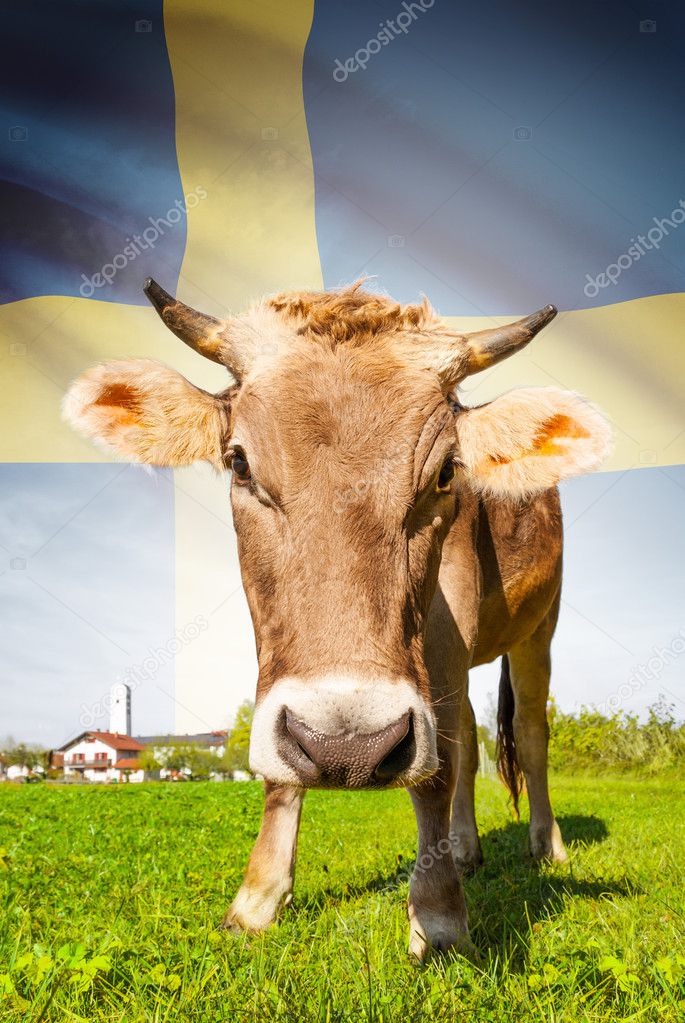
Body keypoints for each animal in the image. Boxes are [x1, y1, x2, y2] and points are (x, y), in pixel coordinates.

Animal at [64, 278, 611, 959]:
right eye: (239, 463)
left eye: (445, 472)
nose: (348, 747)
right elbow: (285, 766)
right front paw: (256, 900)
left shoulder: (450, 619)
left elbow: (435, 772)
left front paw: (438, 916)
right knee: (466, 737)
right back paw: (465, 849)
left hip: (539, 628)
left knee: (530, 736)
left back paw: (546, 845)